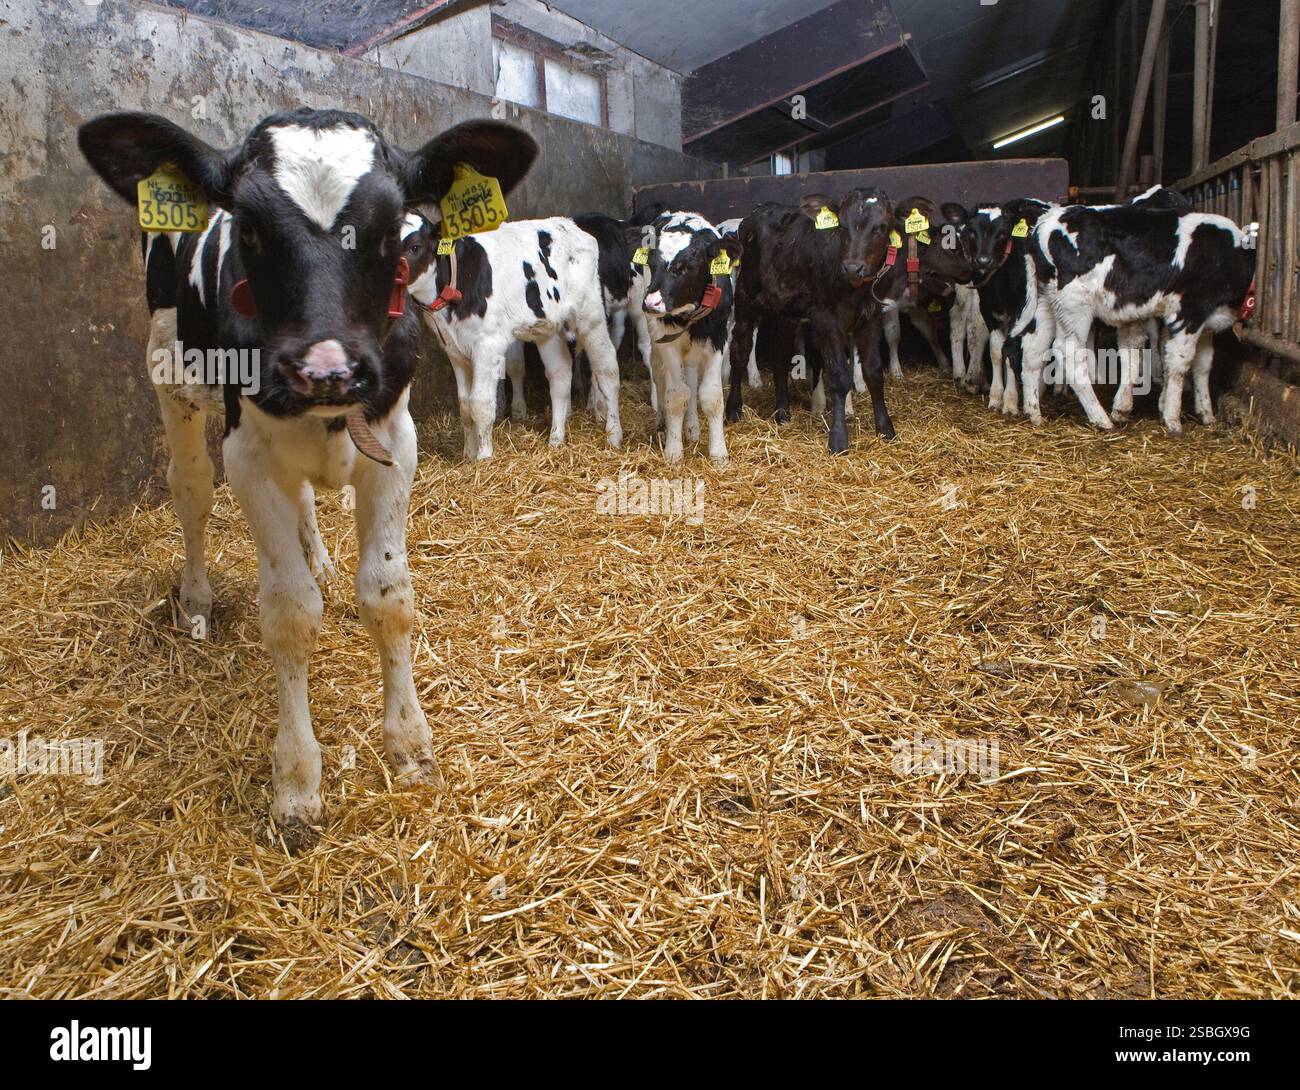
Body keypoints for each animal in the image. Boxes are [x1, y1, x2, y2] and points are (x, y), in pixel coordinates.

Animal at [78, 108, 537, 849]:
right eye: (249, 227)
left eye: (391, 230)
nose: (326, 370)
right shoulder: (247, 454)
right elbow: (290, 613)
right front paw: (296, 782)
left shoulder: (395, 440)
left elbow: (387, 595)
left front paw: (410, 746)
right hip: (168, 370)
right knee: (190, 487)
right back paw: (197, 596)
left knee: (303, 505)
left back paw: (318, 557)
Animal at [407, 216, 622, 459]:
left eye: (415, 246)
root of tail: (570, 225)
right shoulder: (455, 350)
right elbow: (464, 407)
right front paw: (468, 456)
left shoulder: (487, 346)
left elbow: (480, 405)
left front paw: (484, 458)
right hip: (549, 328)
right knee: (560, 374)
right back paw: (556, 440)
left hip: (591, 315)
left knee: (607, 369)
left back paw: (614, 435)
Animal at [629, 211, 741, 463]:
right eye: (652, 264)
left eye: (686, 267)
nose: (651, 303)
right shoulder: (667, 341)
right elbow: (677, 396)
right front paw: (673, 451)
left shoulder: (718, 338)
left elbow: (711, 395)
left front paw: (718, 453)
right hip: (654, 337)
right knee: (661, 376)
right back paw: (664, 425)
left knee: (690, 378)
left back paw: (692, 428)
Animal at [726, 190, 898, 453]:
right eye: (842, 226)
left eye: (881, 227)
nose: (853, 267)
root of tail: (759, 210)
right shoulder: (826, 317)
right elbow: (839, 375)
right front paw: (838, 439)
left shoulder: (872, 317)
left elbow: (874, 373)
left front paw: (886, 429)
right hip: (746, 295)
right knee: (740, 349)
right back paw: (733, 409)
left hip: (785, 311)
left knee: (779, 355)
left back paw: (782, 412)